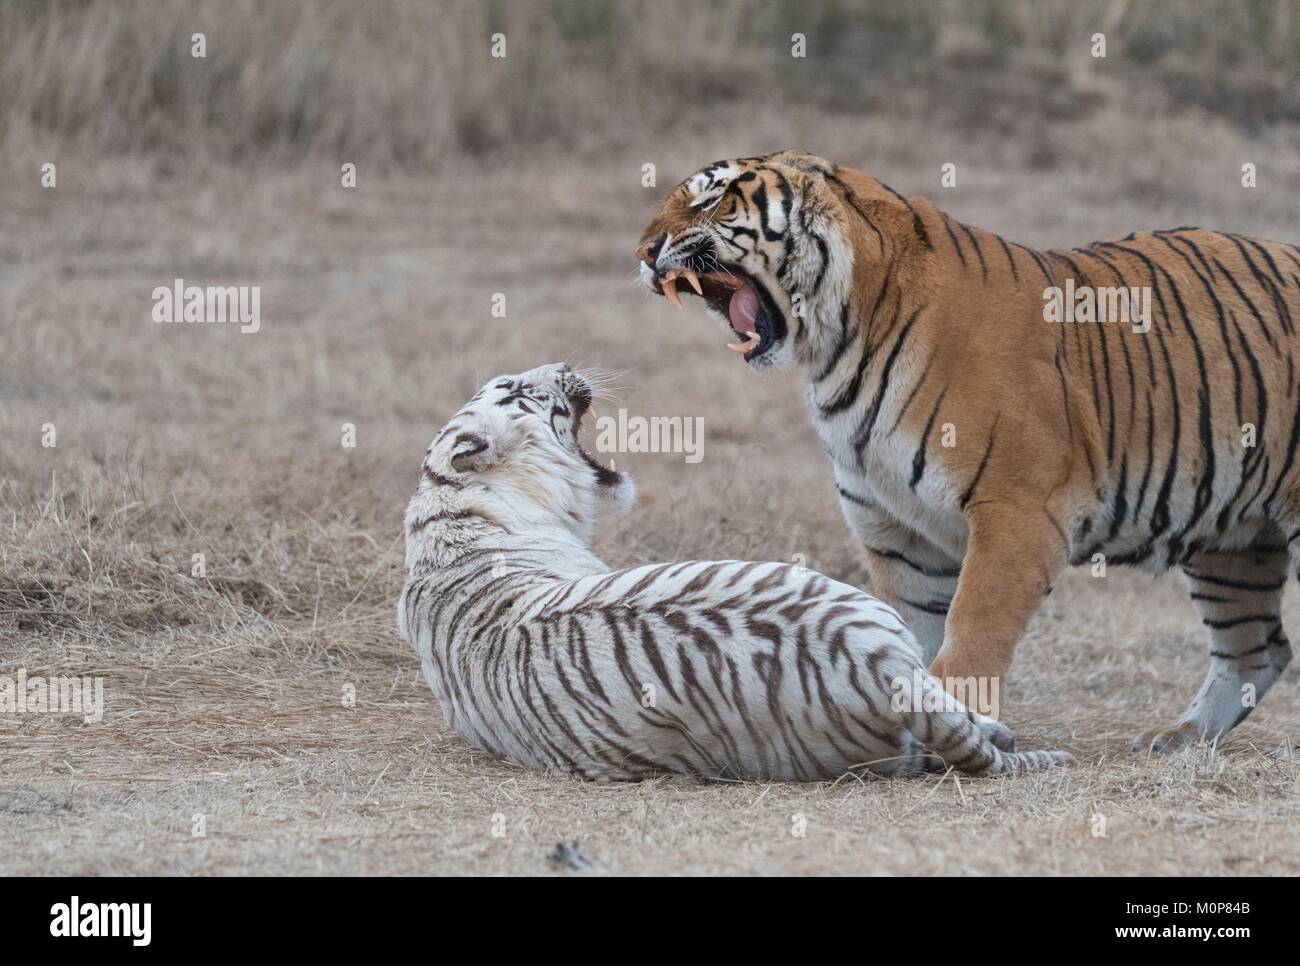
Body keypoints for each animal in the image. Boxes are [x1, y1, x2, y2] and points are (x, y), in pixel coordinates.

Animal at [636, 150, 1300, 752]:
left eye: (712, 198)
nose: (643, 252)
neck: (839, 349)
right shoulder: (900, 534)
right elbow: (905, 635)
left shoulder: (1019, 515)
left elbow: (972, 631)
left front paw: (962, 729)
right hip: (1231, 540)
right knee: (1257, 649)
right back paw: (1177, 739)